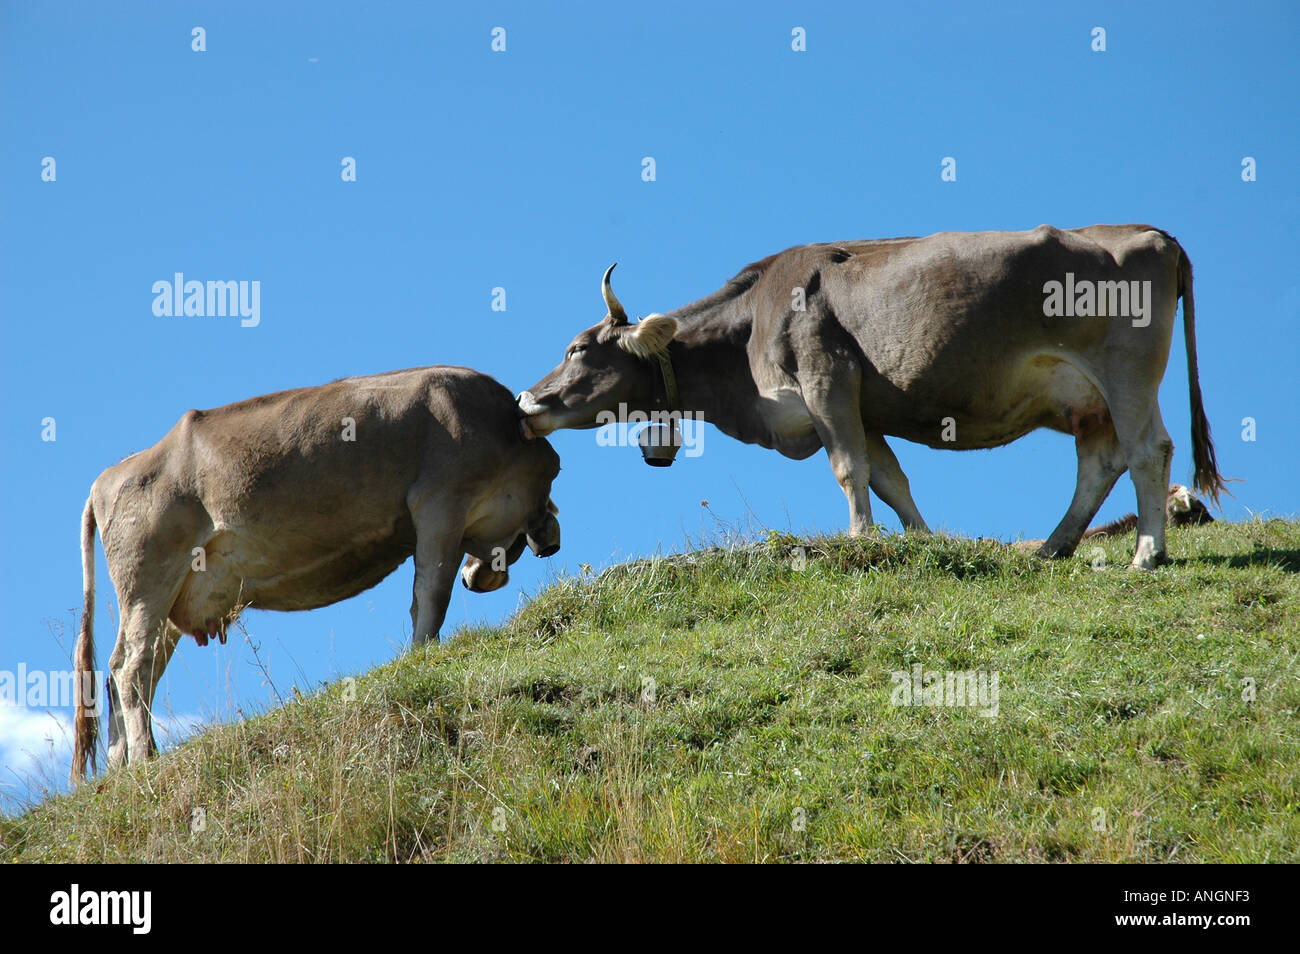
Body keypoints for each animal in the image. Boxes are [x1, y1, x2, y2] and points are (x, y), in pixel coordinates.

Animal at [73, 366, 561, 781]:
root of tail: (108, 476)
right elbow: (430, 596)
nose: (549, 540)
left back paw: (120, 768)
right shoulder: (440, 502)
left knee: (129, 672)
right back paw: (142, 757)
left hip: (171, 596)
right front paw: (422, 654)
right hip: (147, 580)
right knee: (129, 667)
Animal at [517, 225, 1226, 571]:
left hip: (1126, 372)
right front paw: (922, 540)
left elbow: (848, 469)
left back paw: (1146, 553)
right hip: (1087, 398)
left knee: (1149, 450)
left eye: (576, 348)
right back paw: (1053, 547)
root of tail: (1151, 233)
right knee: (1099, 463)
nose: (526, 401)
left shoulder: (826, 379)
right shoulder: (860, 408)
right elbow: (891, 477)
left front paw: (858, 538)